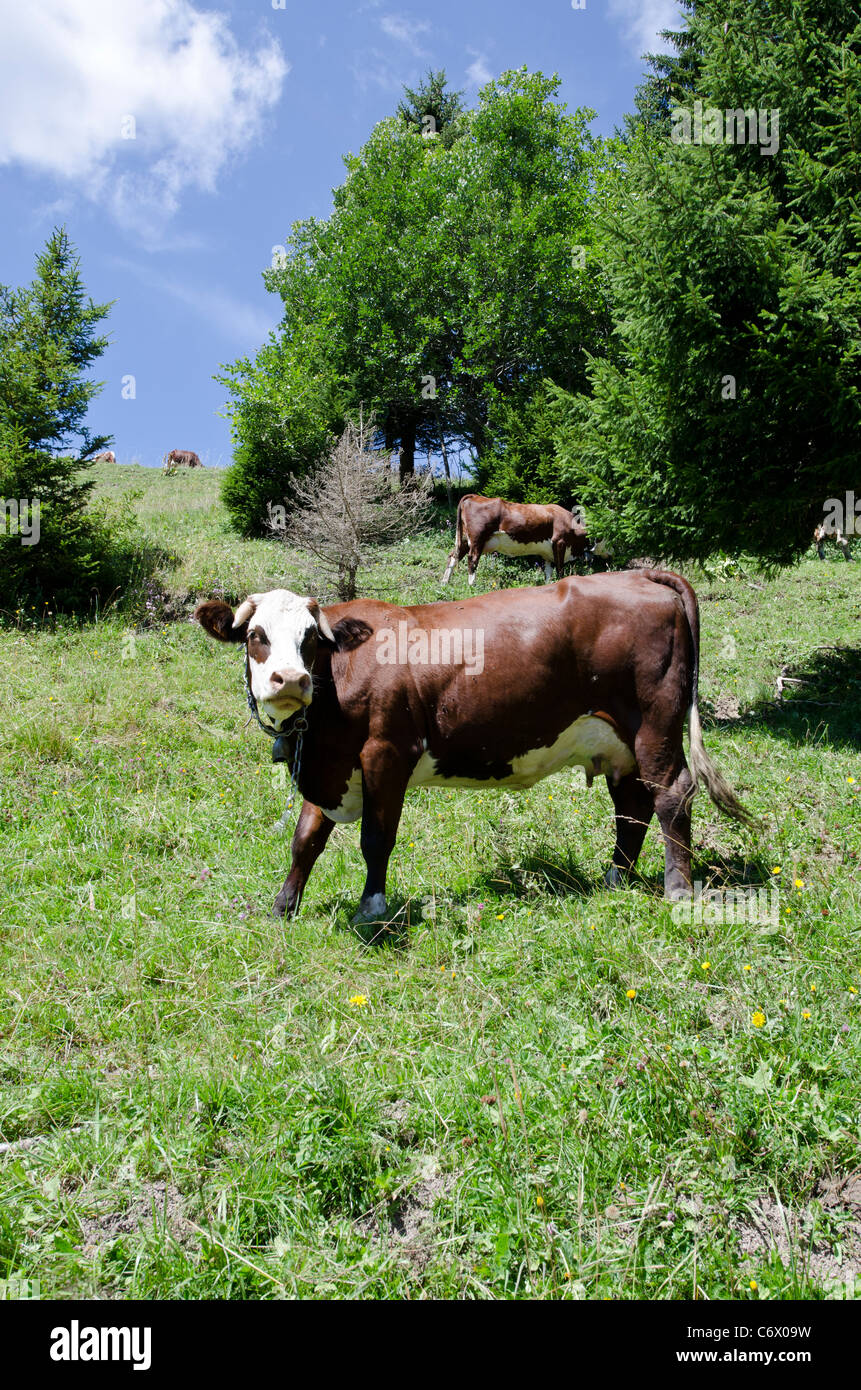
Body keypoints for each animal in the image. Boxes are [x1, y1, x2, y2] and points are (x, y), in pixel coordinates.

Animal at [195, 572, 752, 924]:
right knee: (632, 806)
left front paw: (372, 907)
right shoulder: (328, 764)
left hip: (655, 725)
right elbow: (305, 839)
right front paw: (283, 907)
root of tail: (640, 575)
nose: (290, 679)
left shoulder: (386, 752)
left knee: (672, 794)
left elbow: (375, 838)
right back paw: (616, 877)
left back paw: (677, 888)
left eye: (311, 638)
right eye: (255, 635)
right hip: (618, 743)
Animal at [442, 495, 590, 586]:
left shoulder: (547, 552)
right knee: (472, 559)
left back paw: (444, 582)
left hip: (465, 539)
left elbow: (548, 572)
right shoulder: (560, 543)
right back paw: (472, 584)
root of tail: (474, 496)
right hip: (477, 539)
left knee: (453, 556)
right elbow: (560, 569)